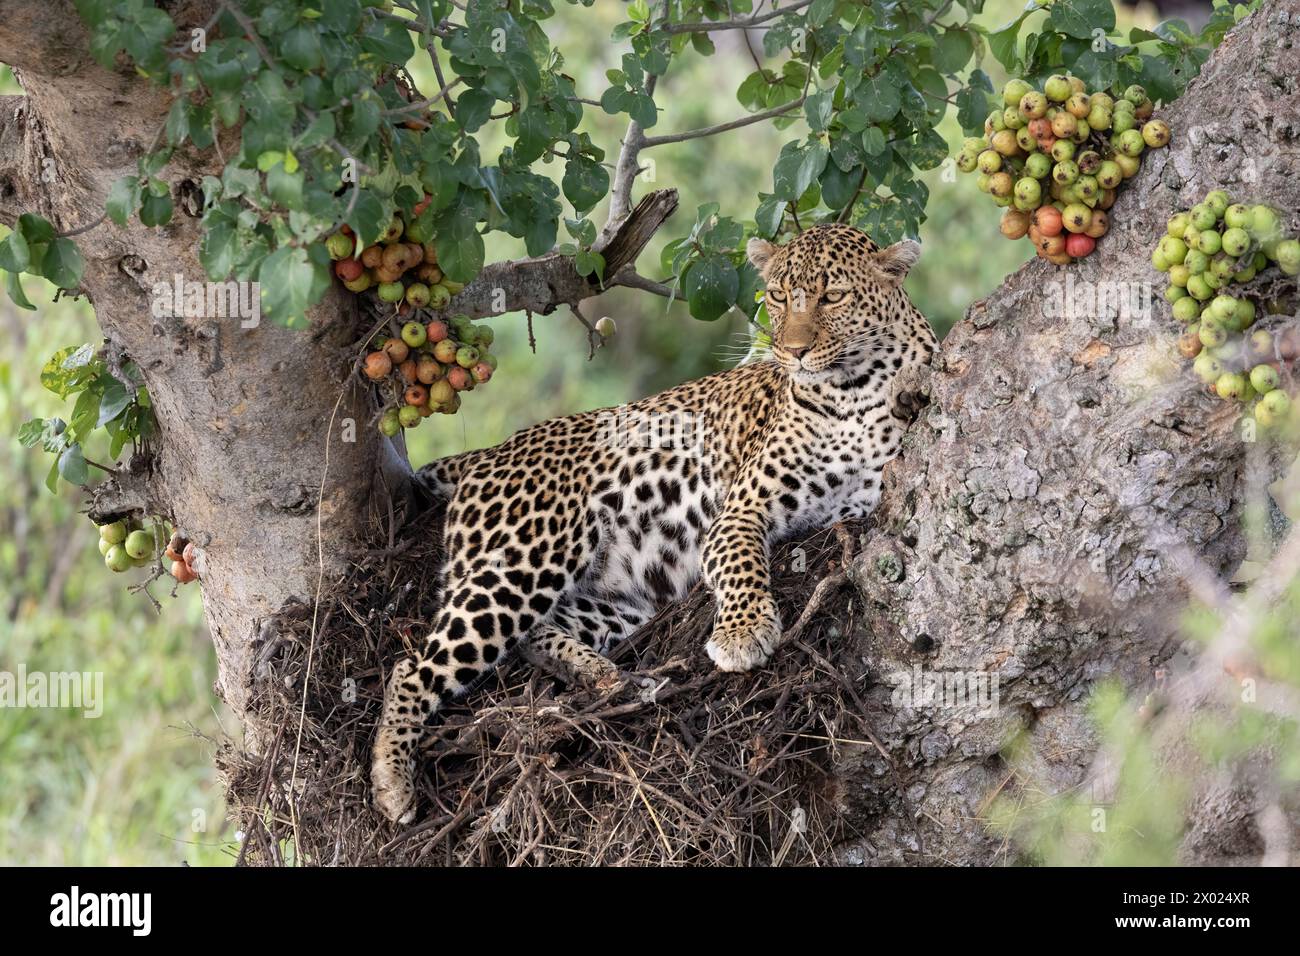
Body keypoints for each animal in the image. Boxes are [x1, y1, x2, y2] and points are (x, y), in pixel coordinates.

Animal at [371, 223, 938, 823]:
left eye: (833, 297)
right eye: (780, 297)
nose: (793, 351)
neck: (853, 392)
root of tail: (491, 453)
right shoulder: (740, 512)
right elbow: (741, 566)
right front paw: (743, 633)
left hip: (622, 603)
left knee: (532, 637)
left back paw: (600, 676)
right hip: (530, 556)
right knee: (414, 665)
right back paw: (392, 777)